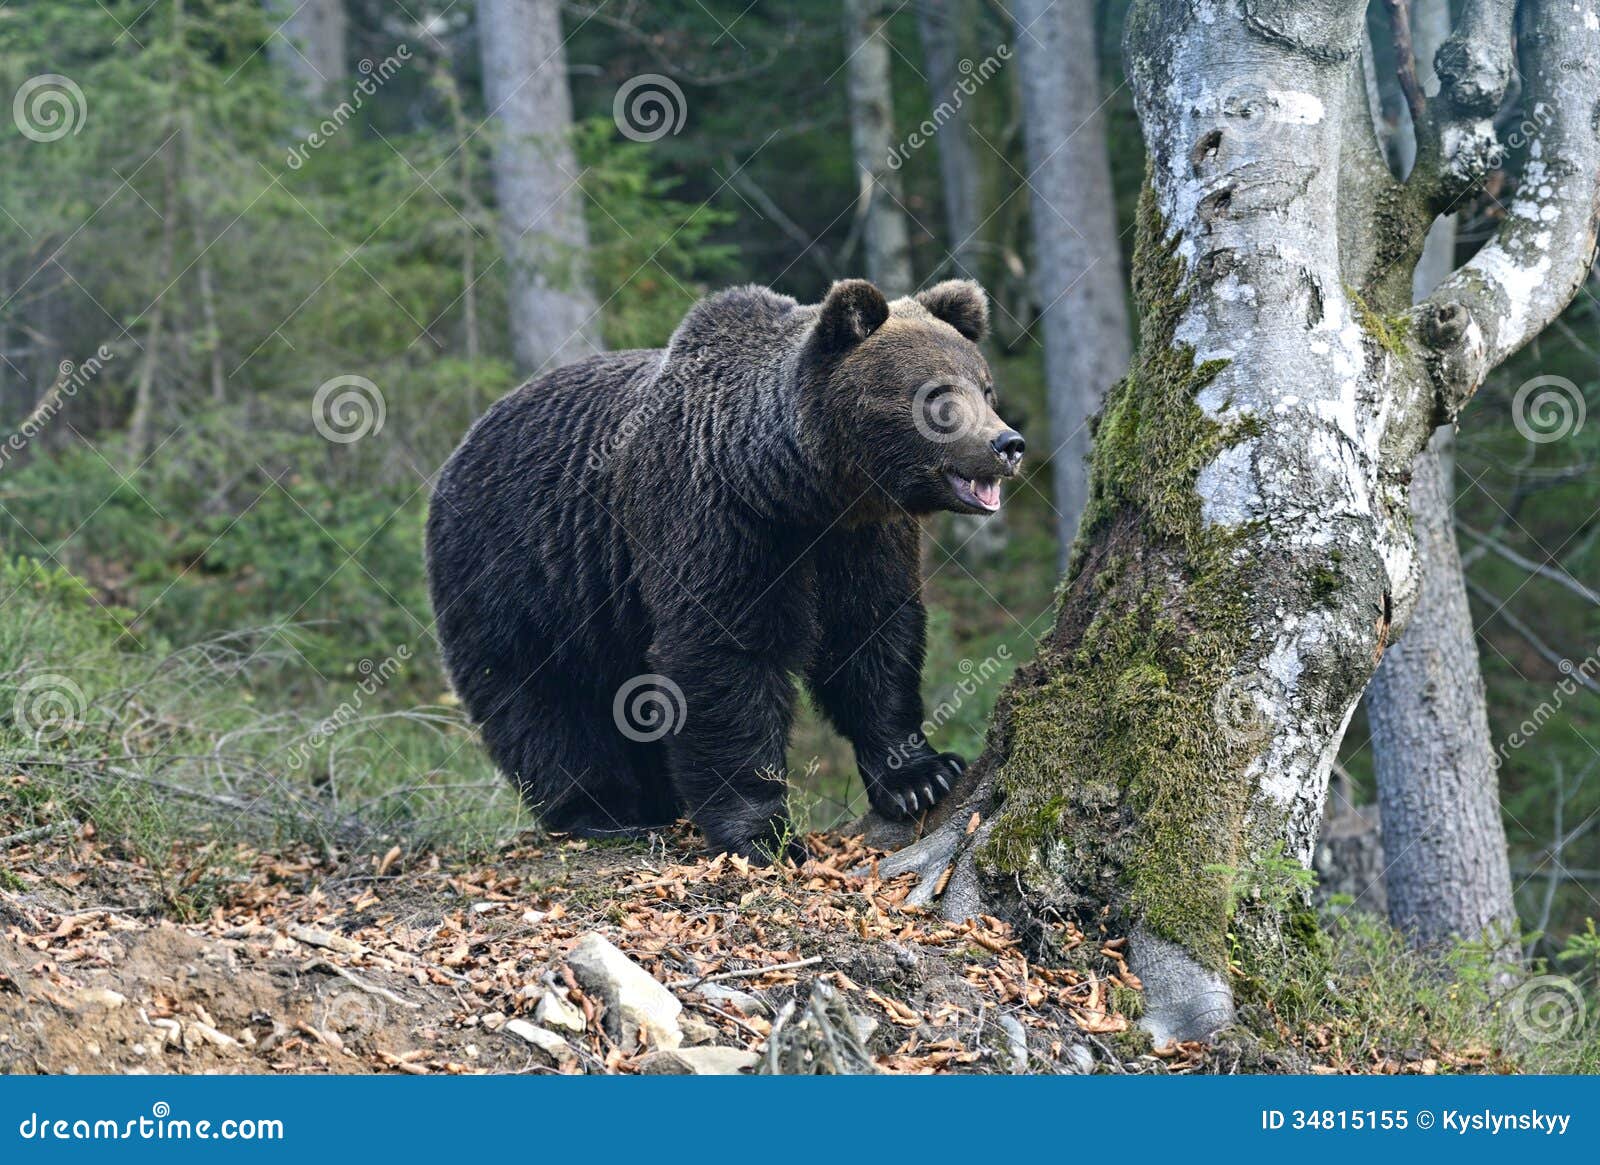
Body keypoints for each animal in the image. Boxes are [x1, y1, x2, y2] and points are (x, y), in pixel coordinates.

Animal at [424, 278, 1024, 862]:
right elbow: (723, 655)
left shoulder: (860, 538)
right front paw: (763, 834)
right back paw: (604, 813)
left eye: (986, 389)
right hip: (514, 576)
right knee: (542, 703)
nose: (1007, 443)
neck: (798, 488)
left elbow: (874, 635)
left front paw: (921, 777)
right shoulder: (715, 519)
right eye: (938, 397)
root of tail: (462, 446)